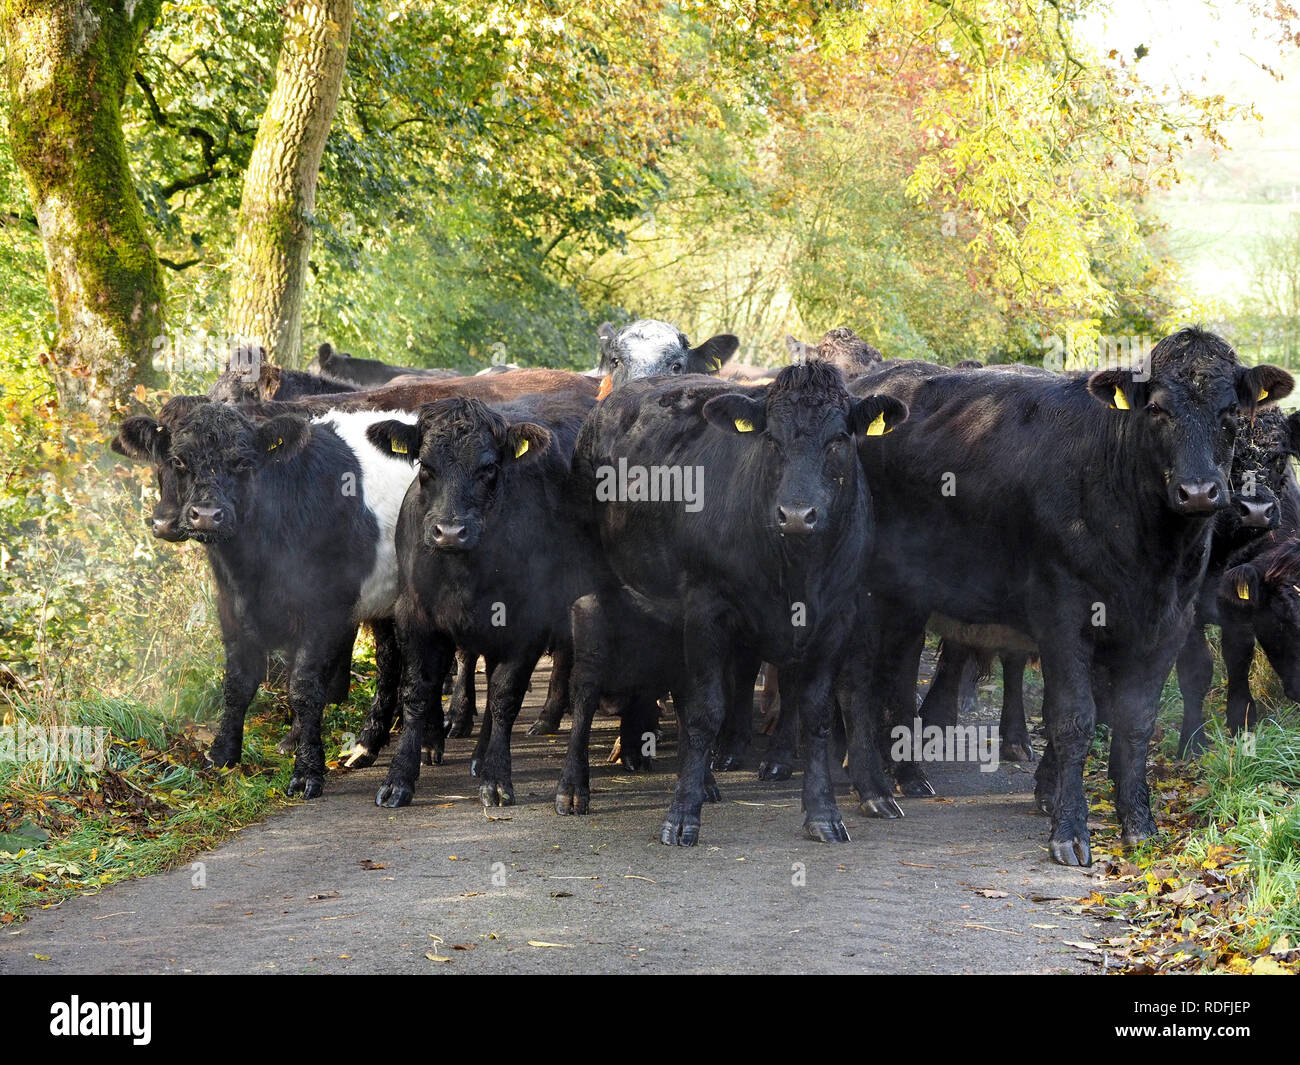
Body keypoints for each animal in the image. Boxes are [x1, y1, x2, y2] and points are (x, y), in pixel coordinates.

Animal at [111, 401, 422, 798]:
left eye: (244, 462)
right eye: (179, 460)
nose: (207, 516)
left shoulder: (325, 612)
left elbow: (304, 688)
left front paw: (307, 772)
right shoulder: (232, 607)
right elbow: (238, 683)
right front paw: (222, 755)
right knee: (389, 659)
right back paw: (366, 746)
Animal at [357, 391, 596, 808]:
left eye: (489, 467)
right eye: (425, 464)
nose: (451, 531)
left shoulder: (527, 623)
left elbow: (504, 697)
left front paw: (496, 777)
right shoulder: (415, 615)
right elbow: (417, 690)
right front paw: (399, 778)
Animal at [565, 361, 907, 844]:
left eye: (840, 439)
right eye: (772, 439)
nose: (797, 515)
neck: (795, 570)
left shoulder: (837, 616)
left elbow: (817, 712)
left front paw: (823, 813)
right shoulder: (708, 609)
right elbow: (706, 711)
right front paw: (681, 817)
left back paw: (705, 782)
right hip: (592, 584)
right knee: (586, 682)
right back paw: (573, 787)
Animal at [841, 329, 1292, 865]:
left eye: (1231, 413)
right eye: (1156, 408)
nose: (1199, 491)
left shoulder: (1169, 623)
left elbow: (1135, 722)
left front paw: (1138, 824)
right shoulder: (1062, 614)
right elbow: (1073, 718)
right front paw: (1069, 830)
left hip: (909, 596)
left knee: (898, 673)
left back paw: (906, 775)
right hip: (861, 591)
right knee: (858, 682)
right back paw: (871, 789)